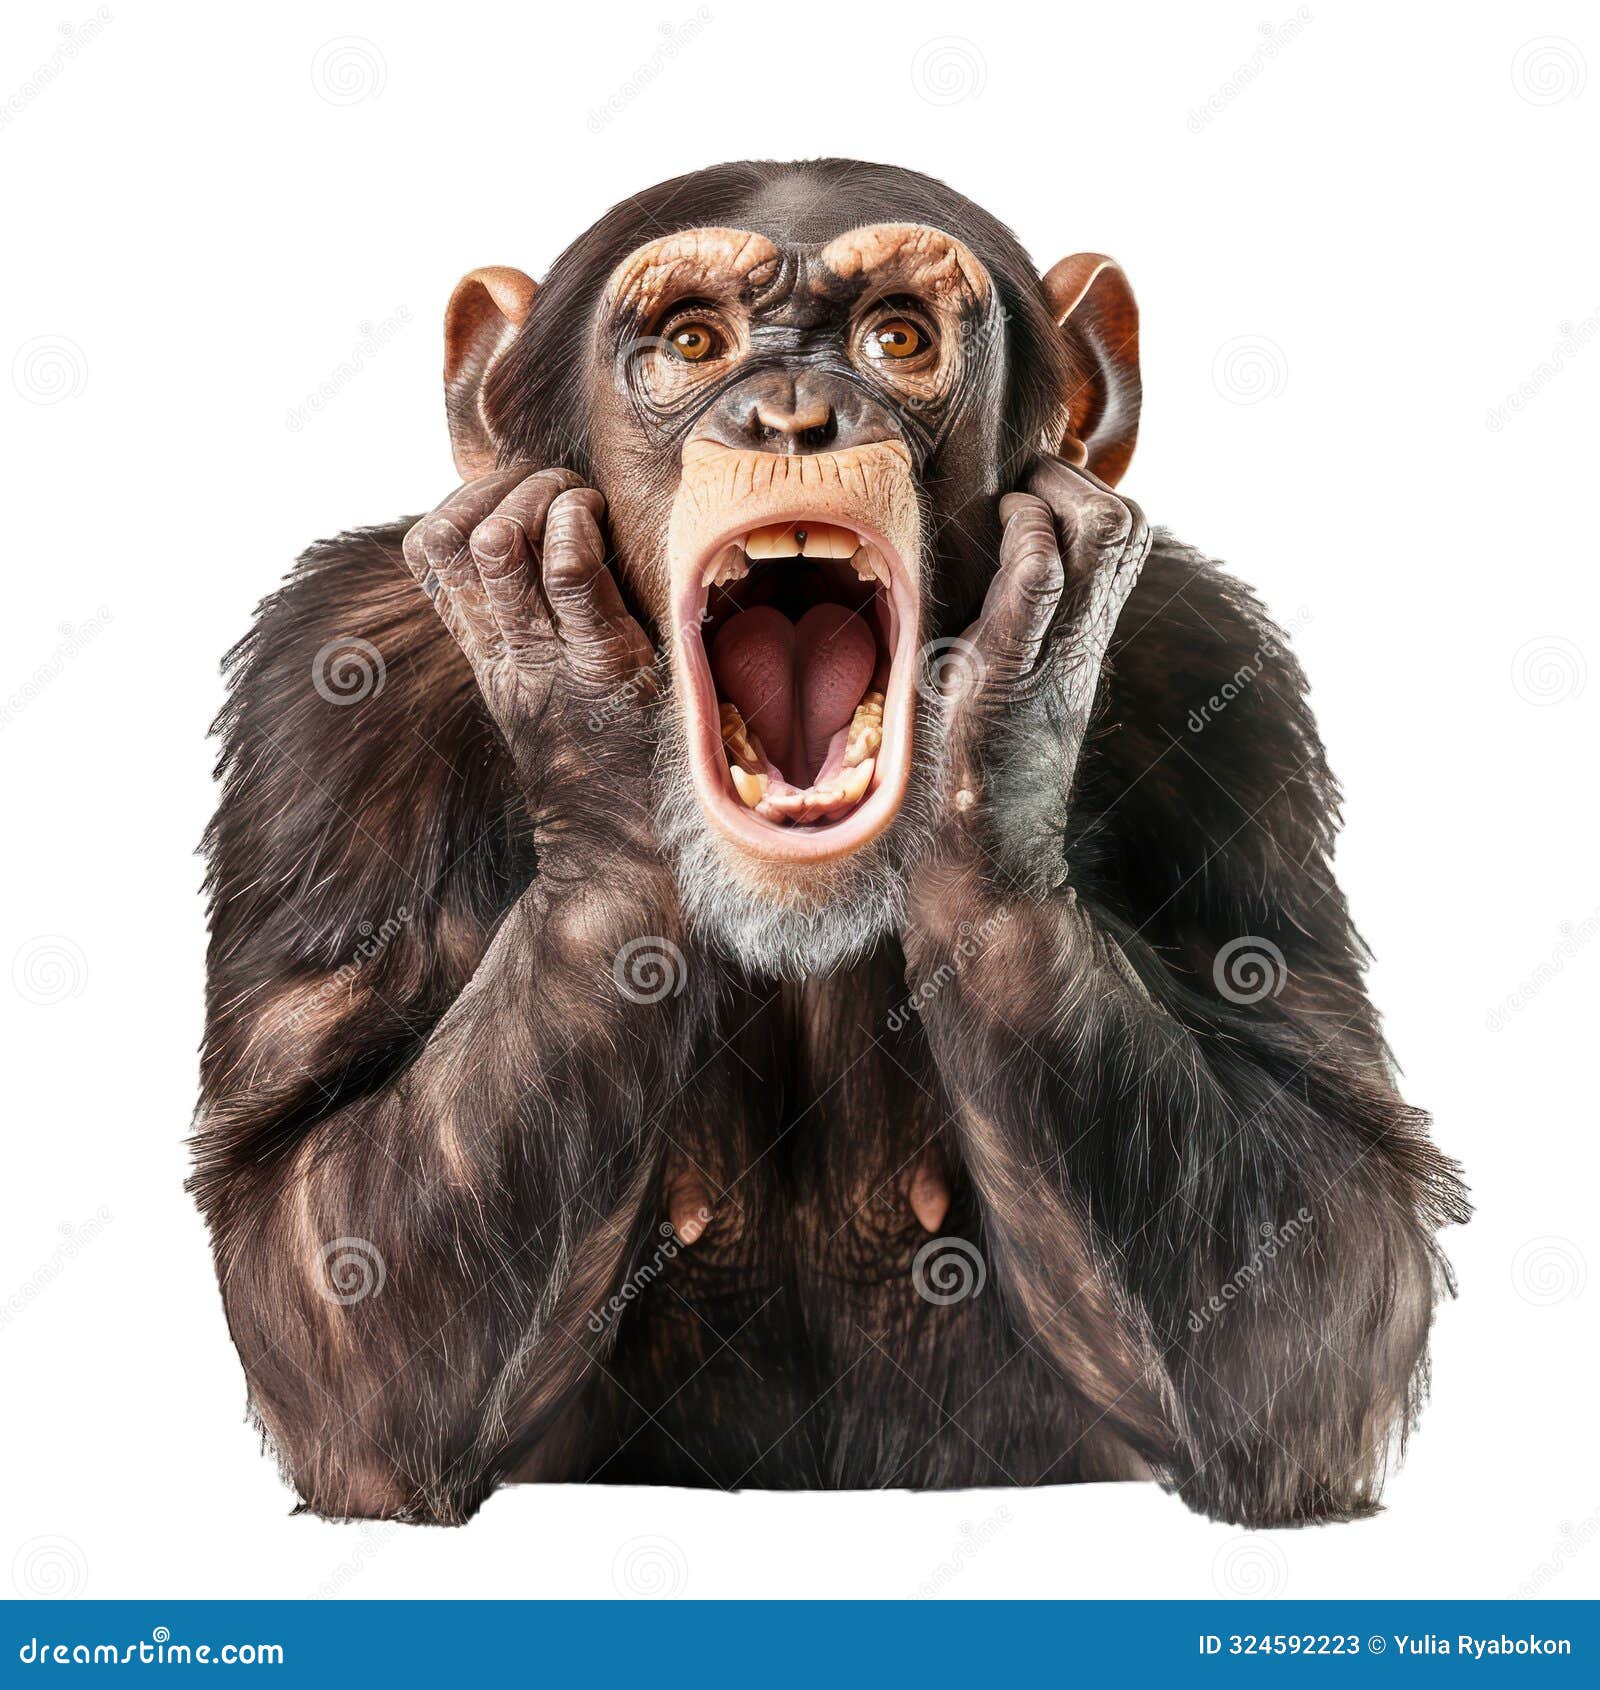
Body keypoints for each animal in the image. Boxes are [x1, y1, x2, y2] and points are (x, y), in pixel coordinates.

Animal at [191, 158, 1467, 1528]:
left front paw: (1020, 690)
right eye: (693, 342)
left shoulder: (1223, 685)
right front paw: (566, 680)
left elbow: (1323, 1255)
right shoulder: (333, 689)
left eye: (894, 338)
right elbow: (311, 1252)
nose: (793, 416)